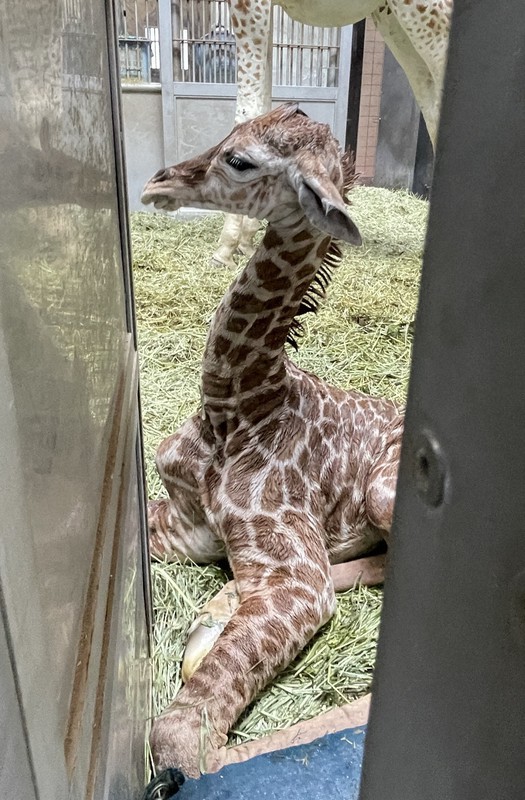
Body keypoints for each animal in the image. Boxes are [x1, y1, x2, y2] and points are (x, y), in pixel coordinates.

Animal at [141, 103, 404, 784]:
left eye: (239, 160)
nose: (155, 182)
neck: (236, 411)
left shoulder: (295, 578)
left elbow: (183, 743)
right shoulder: (185, 526)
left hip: (384, 492)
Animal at [211, 0, 452, 267]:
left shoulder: (248, 4)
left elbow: (247, 111)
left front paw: (225, 248)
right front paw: (245, 241)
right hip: (393, 21)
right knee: (431, 105)